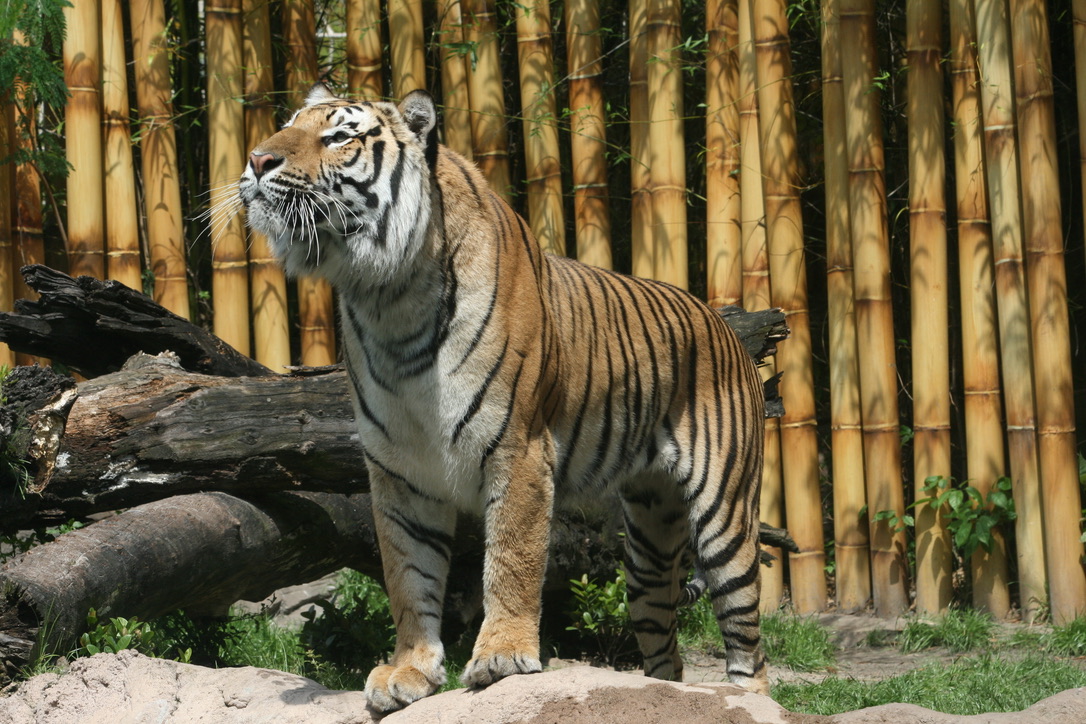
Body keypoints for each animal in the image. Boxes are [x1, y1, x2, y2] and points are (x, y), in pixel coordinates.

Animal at [239, 85, 768, 712]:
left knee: (749, 641)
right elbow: (408, 576)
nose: (257, 160)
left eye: (339, 136)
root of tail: (724, 323)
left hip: (724, 518)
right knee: (665, 648)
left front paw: (502, 658)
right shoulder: (399, 472)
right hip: (647, 545)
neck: (388, 300)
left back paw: (748, 698)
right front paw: (408, 671)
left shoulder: (518, 450)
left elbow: (511, 559)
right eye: (286, 125)